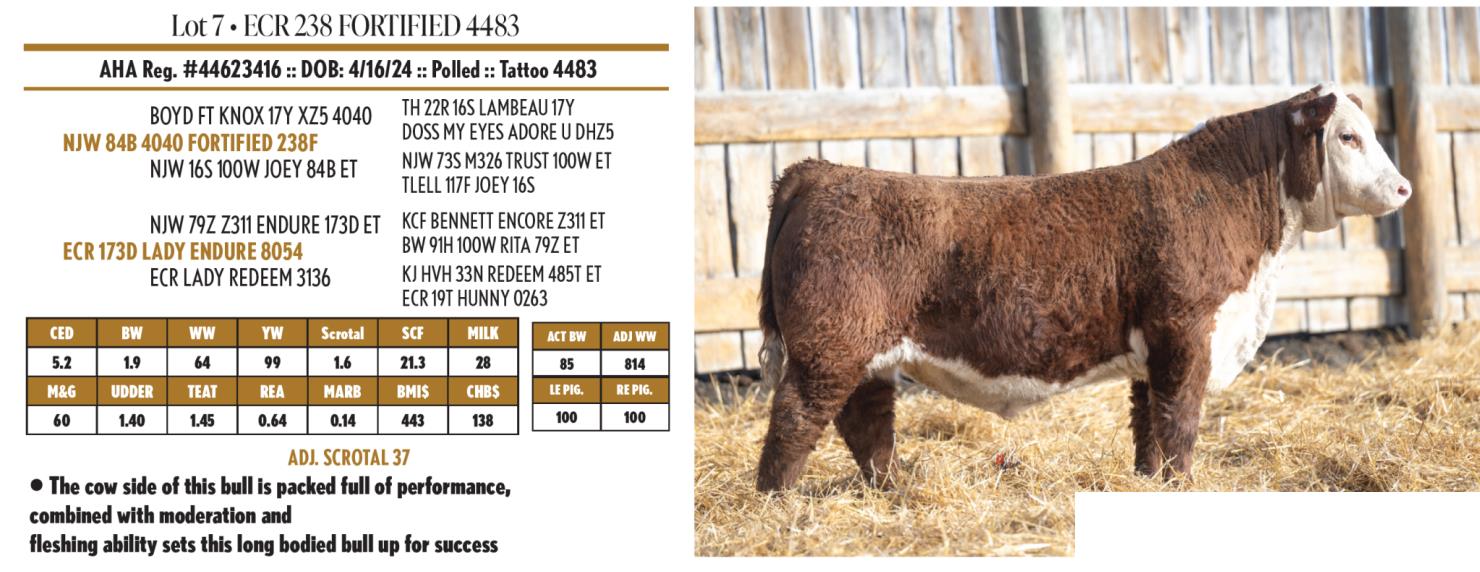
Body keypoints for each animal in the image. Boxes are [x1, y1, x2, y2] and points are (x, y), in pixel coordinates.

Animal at [754, 83, 1410, 491]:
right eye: (1348, 137)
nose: (1403, 188)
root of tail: (819, 172)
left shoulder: (1153, 349)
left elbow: (1149, 425)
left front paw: (1150, 483)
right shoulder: (1185, 333)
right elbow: (1180, 422)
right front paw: (1182, 484)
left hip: (866, 356)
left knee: (867, 425)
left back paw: (894, 490)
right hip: (828, 349)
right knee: (794, 421)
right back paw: (777, 504)